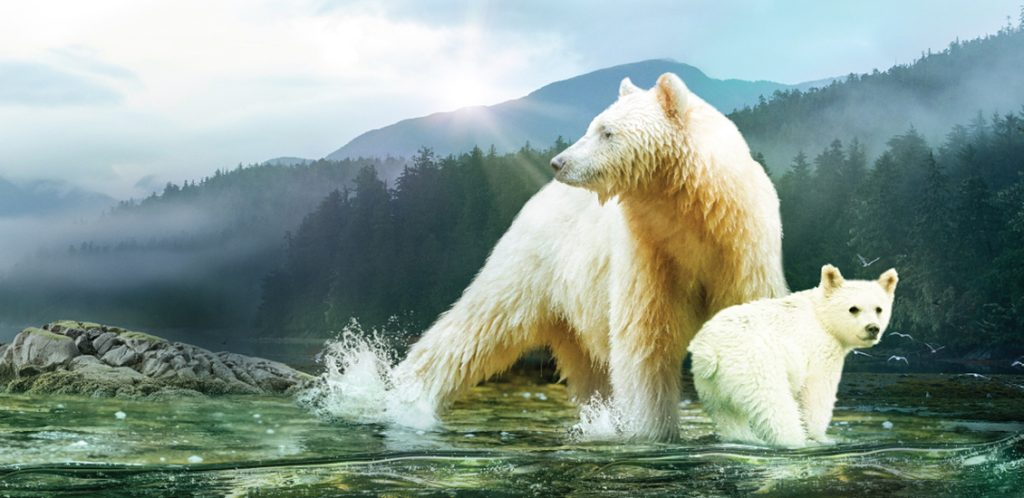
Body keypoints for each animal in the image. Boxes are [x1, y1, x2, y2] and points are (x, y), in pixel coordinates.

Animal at [390, 73, 788, 442]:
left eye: (606, 132)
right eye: (593, 125)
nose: (559, 162)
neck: (694, 217)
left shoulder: (744, 254)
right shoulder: (649, 254)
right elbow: (647, 343)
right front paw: (652, 433)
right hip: (532, 265)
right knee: (477, 327)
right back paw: (407, 399)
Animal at [688, 265, 899, 448]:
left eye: (879, 309)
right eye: (853, 308)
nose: (872, 328)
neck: (821, 316)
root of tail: (710, 350)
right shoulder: (821, 348)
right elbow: (817, 393)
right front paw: (820, 437)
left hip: (710, 383)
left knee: (727, 415)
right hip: (754, 364)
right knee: (774, 407)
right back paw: (795, 442)